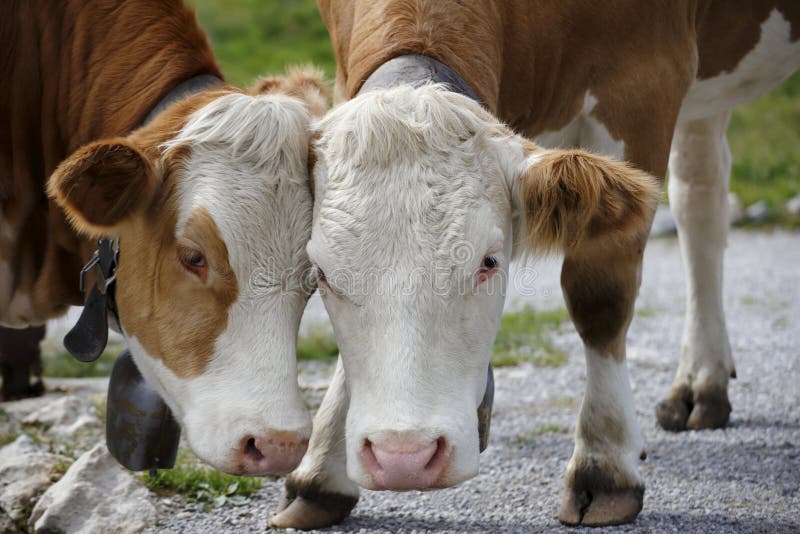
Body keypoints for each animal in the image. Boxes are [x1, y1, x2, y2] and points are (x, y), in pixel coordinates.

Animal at [269, 0, 800, 528]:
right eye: (323, 275)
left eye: (490, 261)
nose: (406, 457)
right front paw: (322, 469)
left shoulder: (646, 83)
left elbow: (600, 296)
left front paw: (603, 466)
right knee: (701, 192)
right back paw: (702, 382)